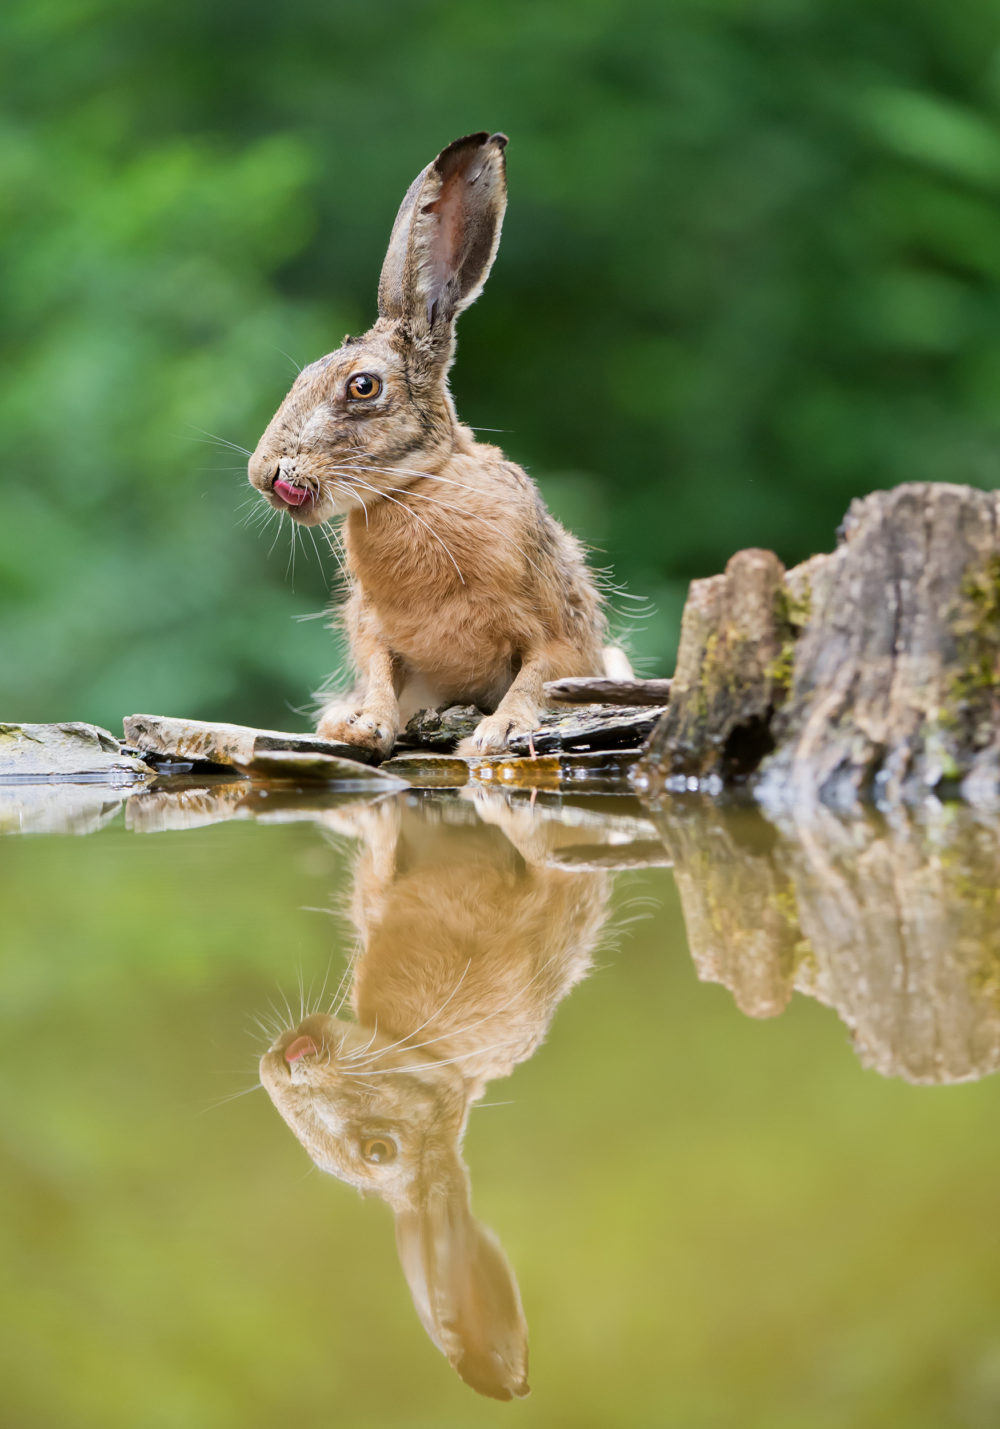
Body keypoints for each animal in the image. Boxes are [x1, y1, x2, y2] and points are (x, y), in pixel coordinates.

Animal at [248, 131, 627, 759]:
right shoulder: (375, 635)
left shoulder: (558, 629)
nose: (263, 474)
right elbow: (381, 675)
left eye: (363, 386)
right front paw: (357, 725)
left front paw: (499, 731)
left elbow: (539, 673)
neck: (413, 492)